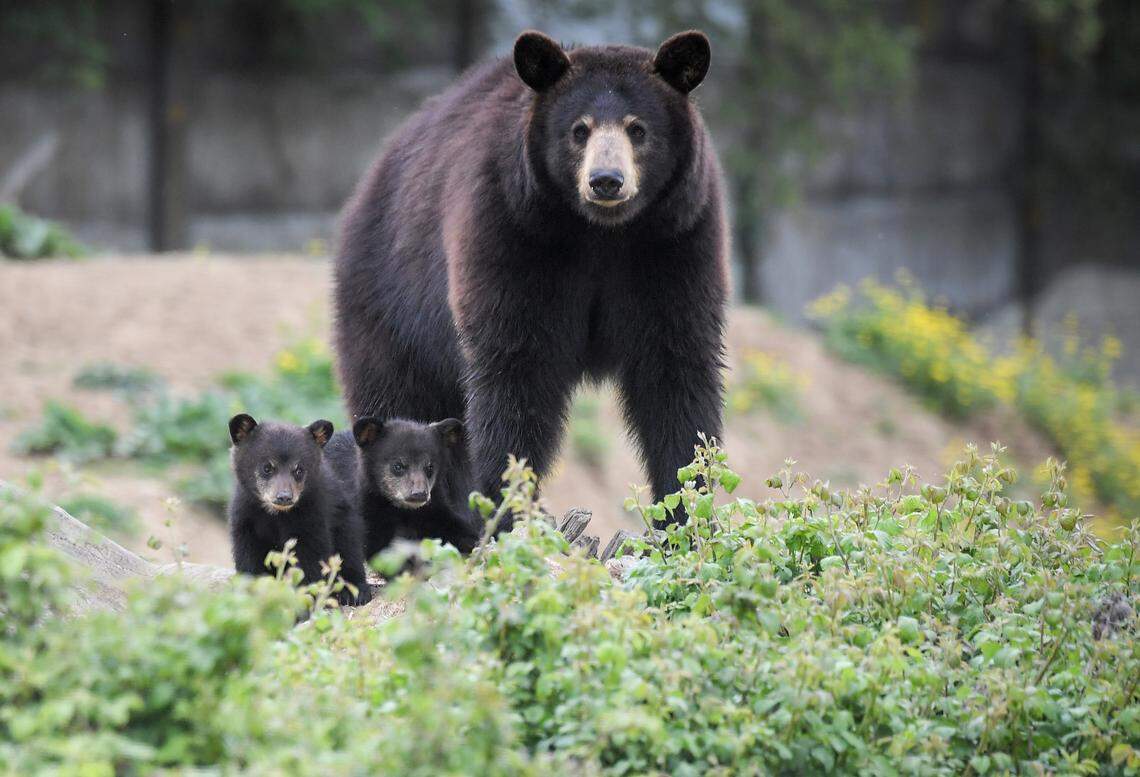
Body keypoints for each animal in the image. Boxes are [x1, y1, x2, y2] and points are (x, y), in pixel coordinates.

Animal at [227, 414, 372, 606]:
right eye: (267, 468)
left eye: (299, 470)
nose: (284, 497)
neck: (276, 515)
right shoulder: (245, 517)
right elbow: (248, 556)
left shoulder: (311, 515)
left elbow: (310, 559)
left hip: (345, 518)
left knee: (349, 548)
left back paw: (354, 592)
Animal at [325, 416, 481, 559]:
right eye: (398, 466)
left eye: (430, 467)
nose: (419, 494)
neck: (404, 512)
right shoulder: (368, 512)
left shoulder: (434, 510)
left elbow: (455, 527)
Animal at [333, 30, 727, 527]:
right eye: (579, 129)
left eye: (638, 129)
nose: (606, 181)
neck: (601, 233)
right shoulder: (514, 232)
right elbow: (517, 367)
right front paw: (508, 507)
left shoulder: (676, 240)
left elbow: (676, 368)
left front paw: (685, 511)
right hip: (393, 304)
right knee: (398, 400)